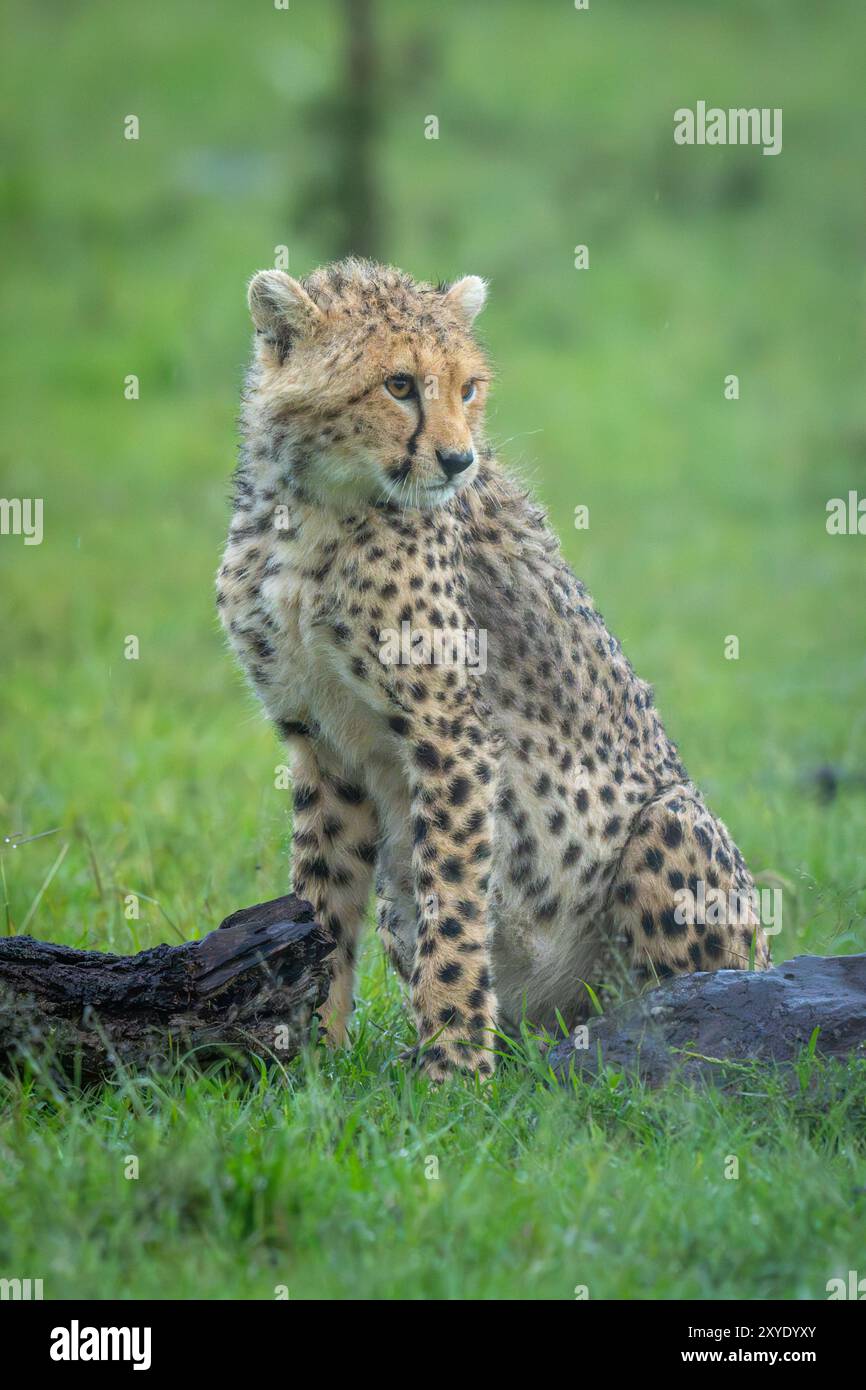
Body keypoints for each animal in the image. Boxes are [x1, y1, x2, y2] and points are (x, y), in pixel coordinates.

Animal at [216, 257, 770, 1082]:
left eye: (468, 387)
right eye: (399, 385)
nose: (457, 460)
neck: (312, 509)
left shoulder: (450, 732)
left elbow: (453, 903)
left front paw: (453, 1070)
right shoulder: (321, 742)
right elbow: (321, 899)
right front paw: (310, 1057)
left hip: (671, 823)